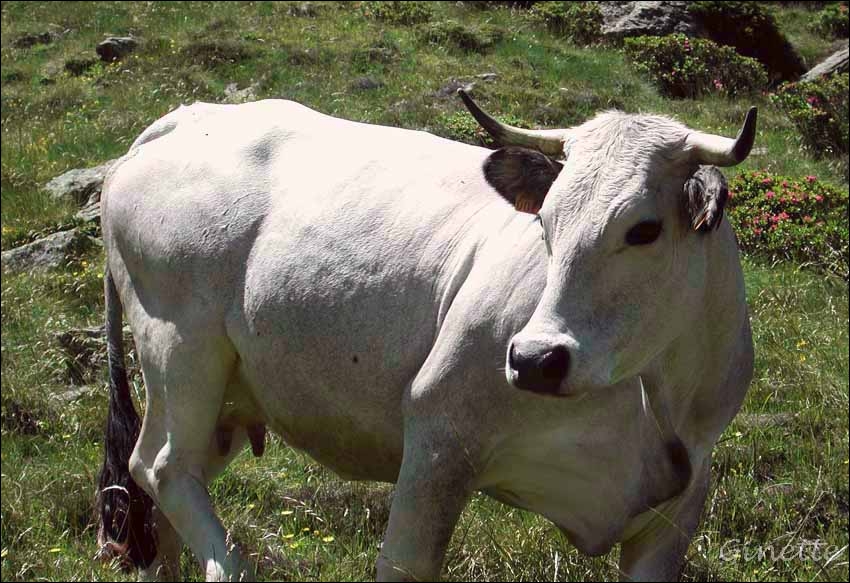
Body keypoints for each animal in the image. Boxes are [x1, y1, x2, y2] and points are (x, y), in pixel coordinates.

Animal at [96, 90, 756, 582]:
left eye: (644, 229)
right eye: (545, 221)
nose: (534, 359)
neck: (645, 393)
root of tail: (187, 117)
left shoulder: (677, 509)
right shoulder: (438, 441)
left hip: (231, 394)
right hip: (179, 347)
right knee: (160, 466)